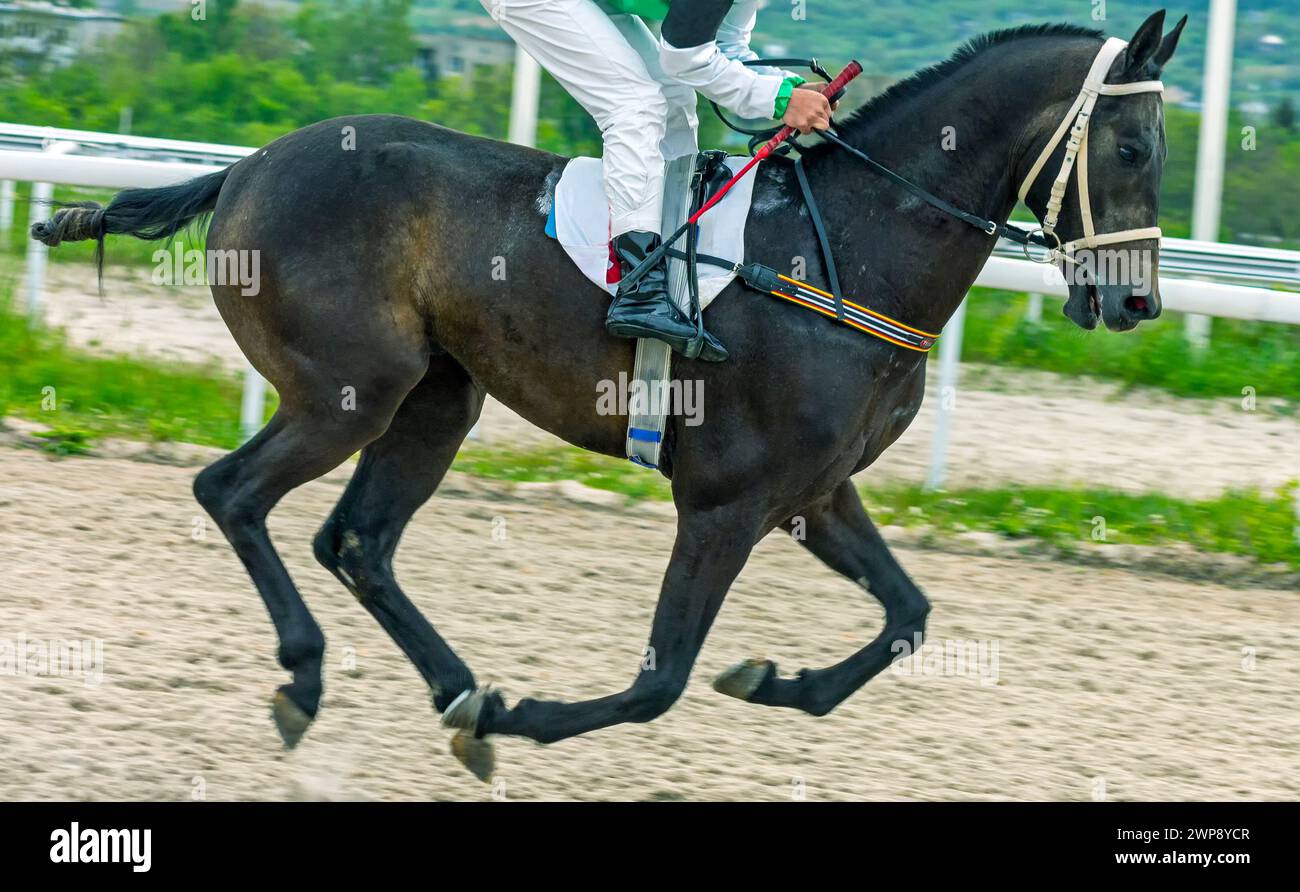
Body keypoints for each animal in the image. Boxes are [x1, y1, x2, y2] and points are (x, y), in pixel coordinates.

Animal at [32, 11, 1186, 781]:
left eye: (1161, 151)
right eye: (1130, 146)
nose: (1136, 302)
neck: (847, 254)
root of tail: (244, 168)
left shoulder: (813, 494)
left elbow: (908, 613)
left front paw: (780, 683)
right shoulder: (725, 502)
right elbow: (659, 680)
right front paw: (530, 714)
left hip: (436, 400)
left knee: (356, 539)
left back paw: (456, 687)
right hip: (348, 392)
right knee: (233, 494)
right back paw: (311, 678)